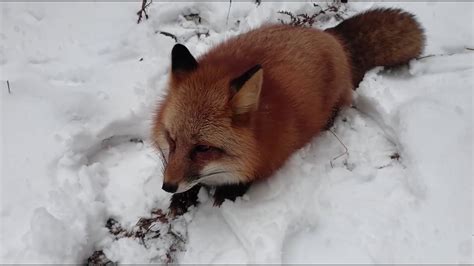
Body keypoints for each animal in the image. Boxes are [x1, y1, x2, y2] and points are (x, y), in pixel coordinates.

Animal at [151, 8, 422, 215]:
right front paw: (184, 197)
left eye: (203, 148)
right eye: (171, 140)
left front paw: (229, 191)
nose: (167, 186)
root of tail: (327, 34)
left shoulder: (272, 155)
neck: (259, 131)